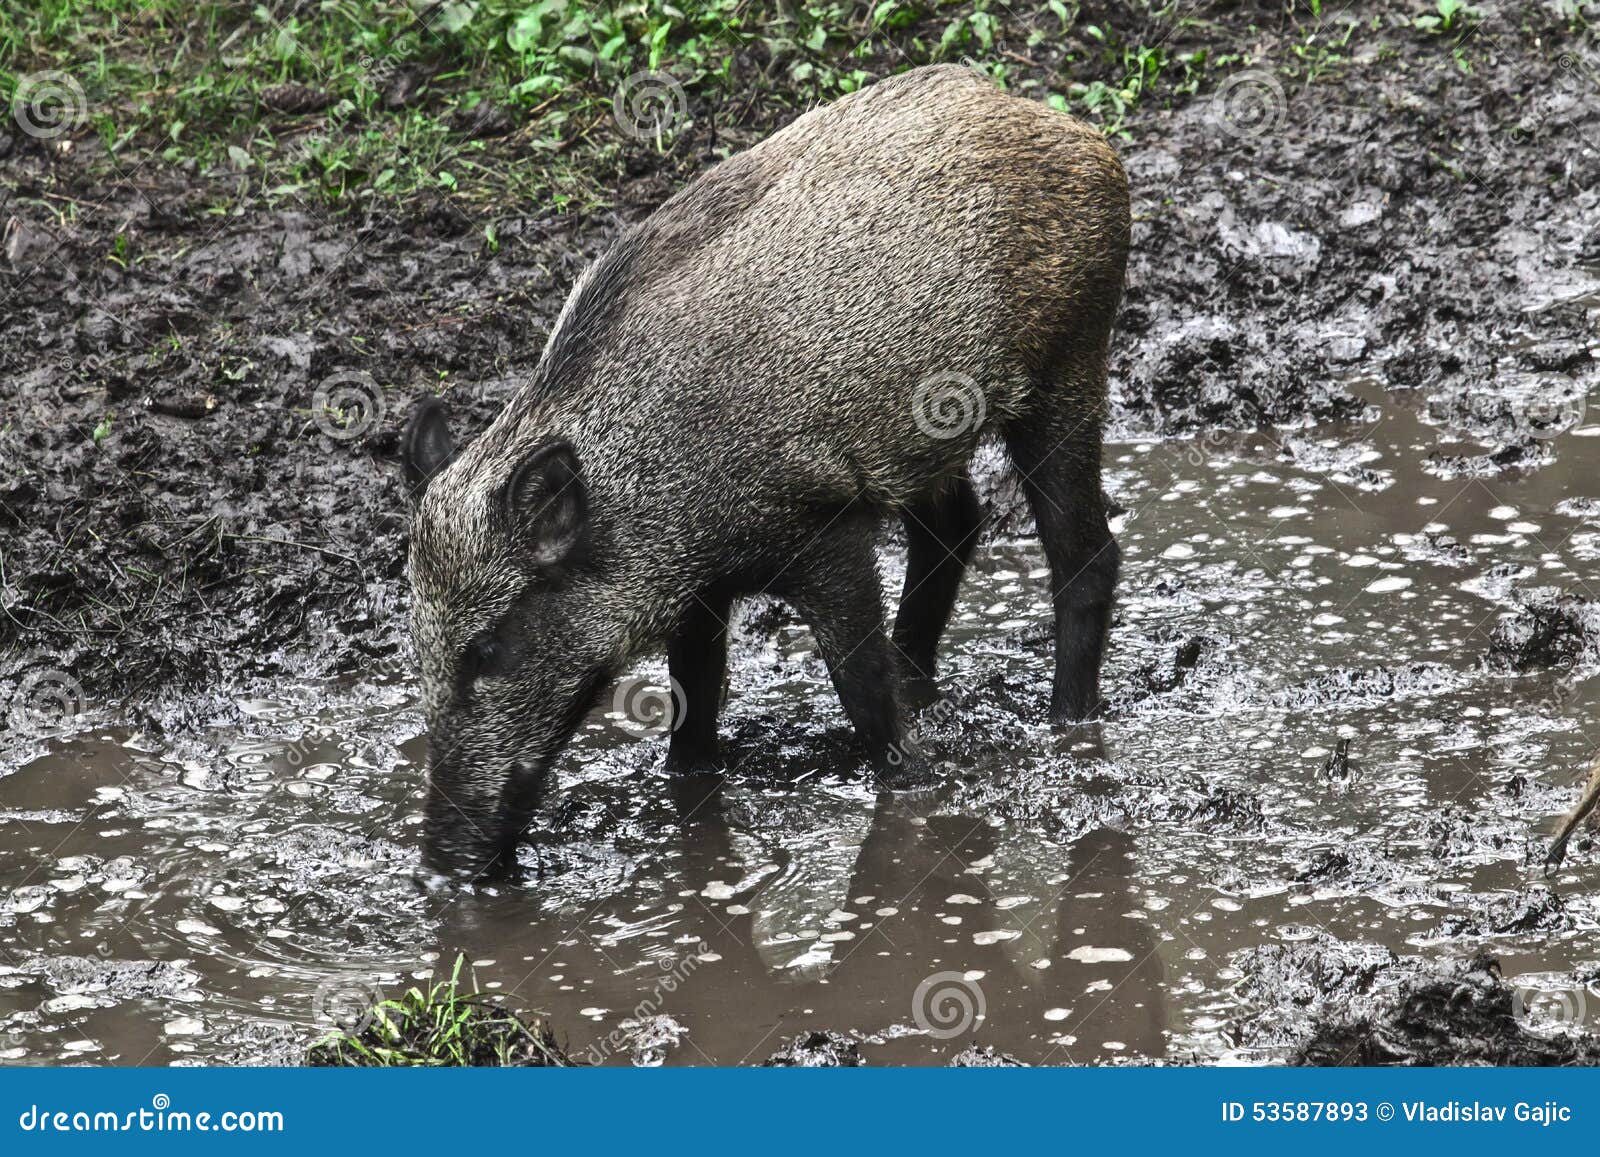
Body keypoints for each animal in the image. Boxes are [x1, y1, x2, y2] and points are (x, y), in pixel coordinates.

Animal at [400, 64, 1130, 877]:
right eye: (419, 644)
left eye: (486, 649)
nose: (440, 866)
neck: (646, 480)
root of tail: (1074, 131)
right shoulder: (699, 591)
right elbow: (692, 703)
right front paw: (688, 789)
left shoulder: (823, 529)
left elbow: (859, 687)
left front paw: (911, 784)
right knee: (955, 524)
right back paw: (931, 685)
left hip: (1069, 363)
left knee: (1085, 555)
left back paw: (1068, 728)